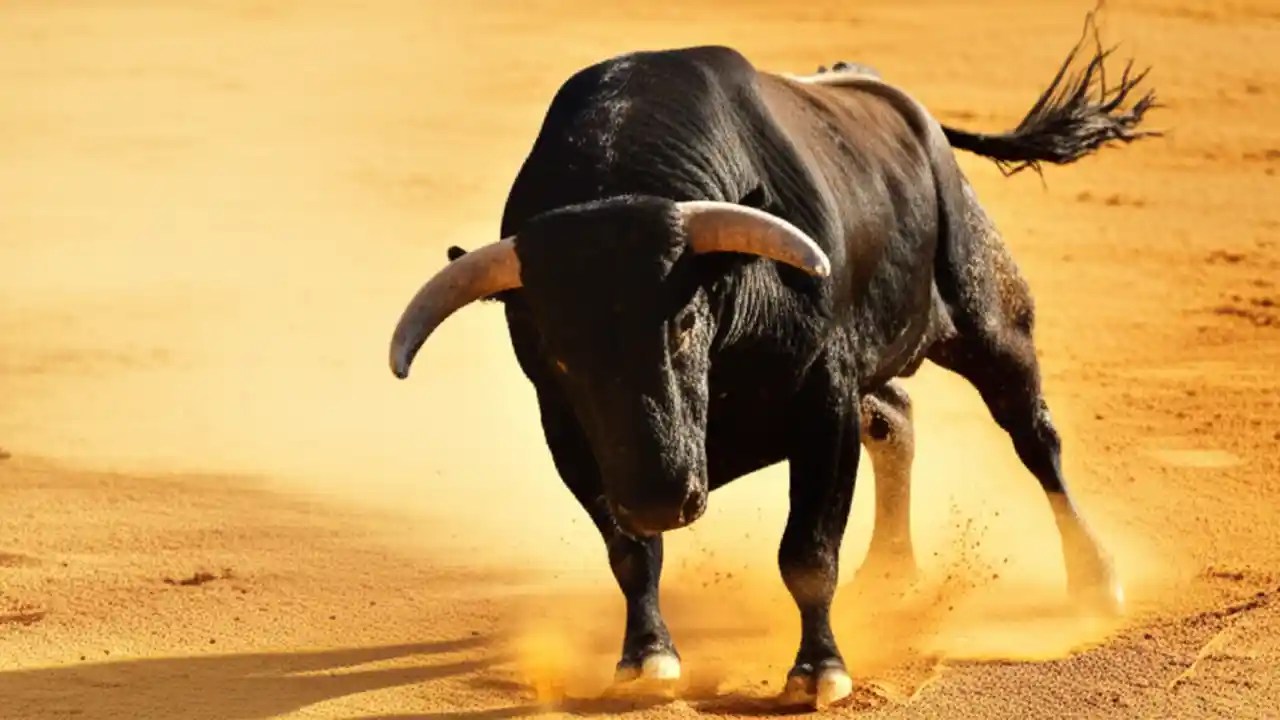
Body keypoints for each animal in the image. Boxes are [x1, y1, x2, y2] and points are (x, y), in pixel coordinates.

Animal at [386, 16, 1156, 709]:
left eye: (685, 321)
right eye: (559, 351)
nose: (662, 498)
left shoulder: (823, 403)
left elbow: (808, 554)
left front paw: (818, 673)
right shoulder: (570, 439)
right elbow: (630, 552)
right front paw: (647, 660)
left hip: (988, 313)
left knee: (1034, 435)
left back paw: (1098, 580)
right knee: (898, 417)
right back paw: (891, 575)